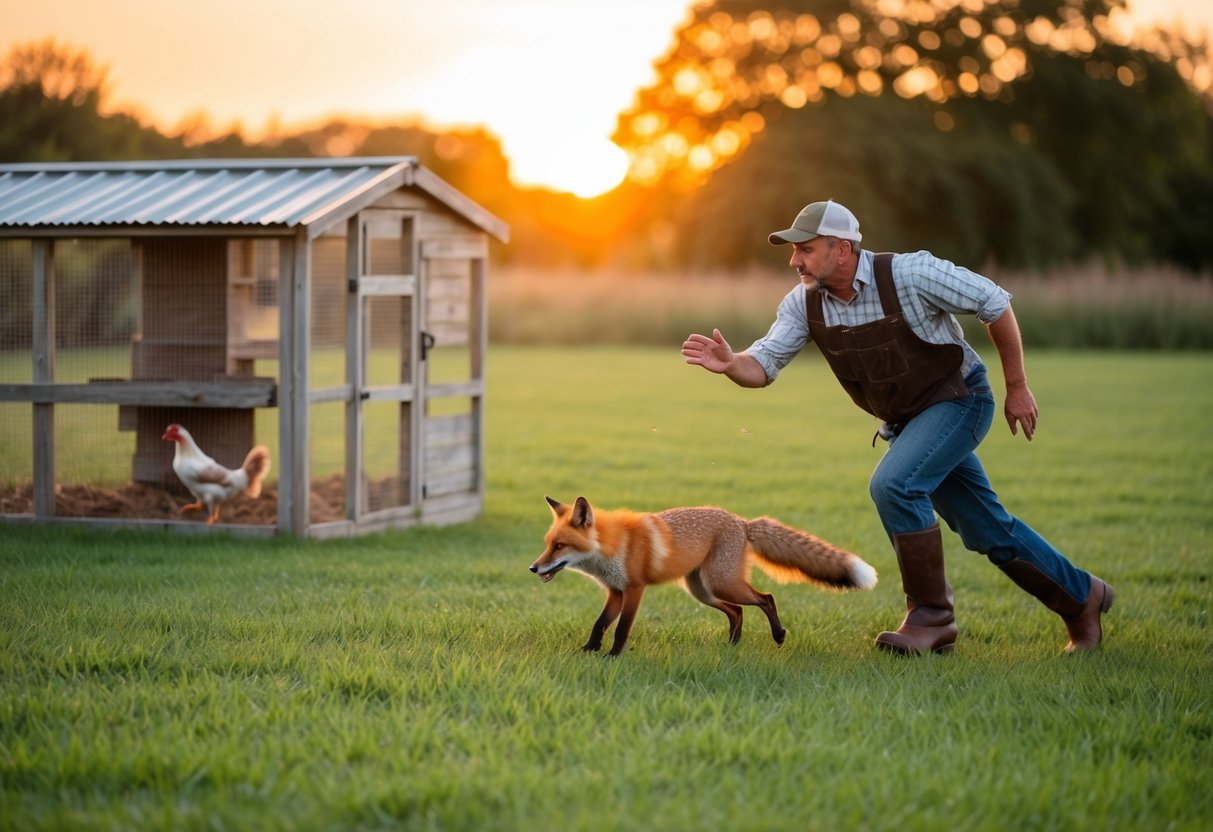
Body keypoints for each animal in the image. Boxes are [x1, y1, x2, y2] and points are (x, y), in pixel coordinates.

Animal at [529, 496, 878, 656]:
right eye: (547, 544)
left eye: (559, 546)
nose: (533, 568)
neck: (613, 546)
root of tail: (742, 522)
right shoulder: (616, 591)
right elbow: (600, 624)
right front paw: (589, 651)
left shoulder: (634, 589)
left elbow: (621, 629)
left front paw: (613, 657)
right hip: (703, 590)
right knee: (737, 612)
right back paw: (732, 646)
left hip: (722, 584)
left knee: (766, 598)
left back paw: (778, 635)